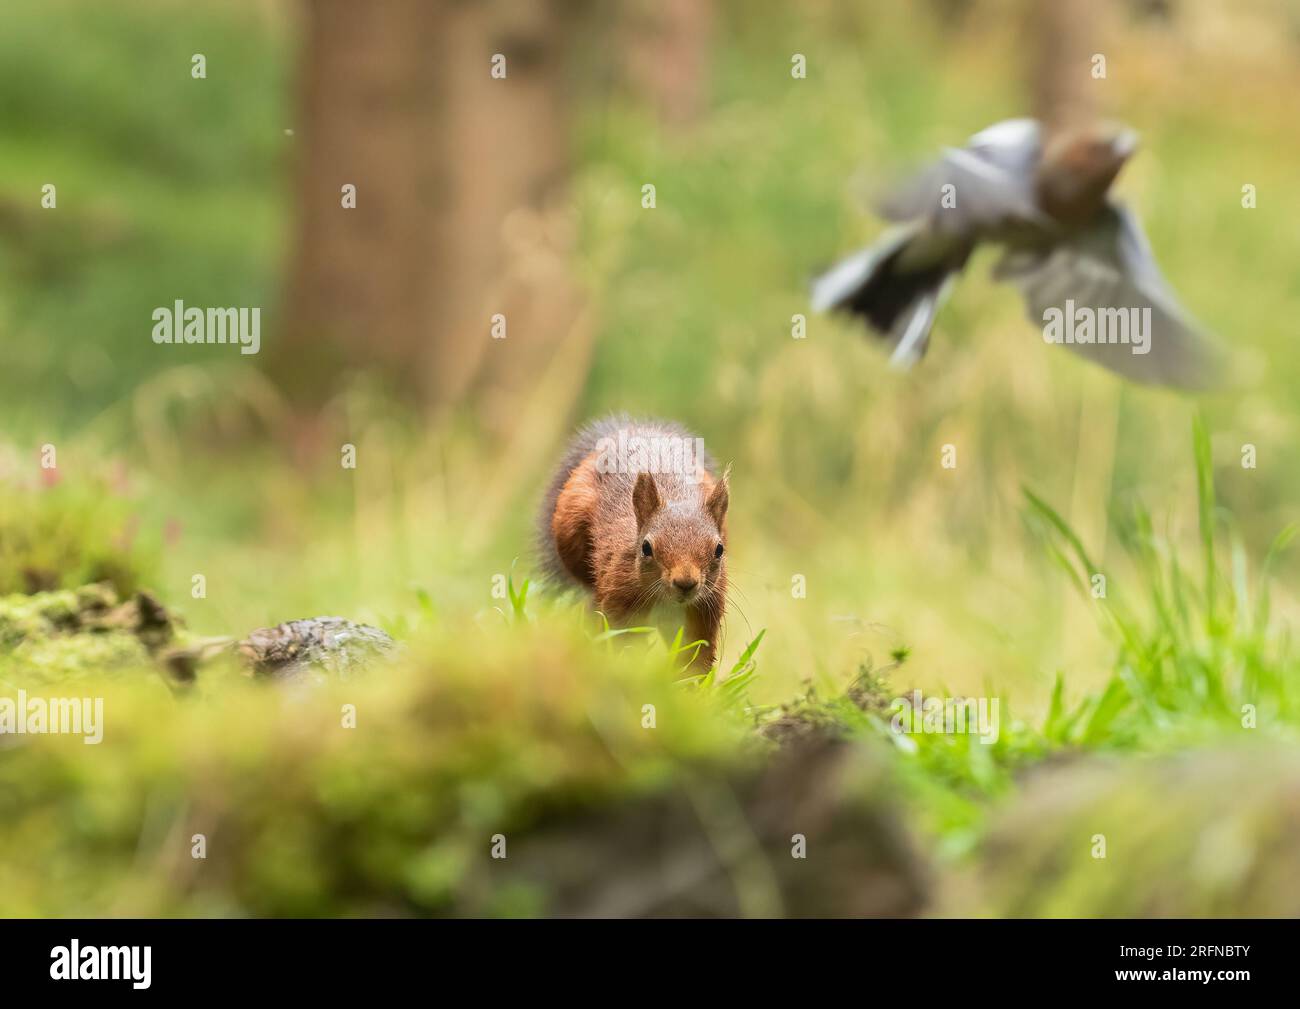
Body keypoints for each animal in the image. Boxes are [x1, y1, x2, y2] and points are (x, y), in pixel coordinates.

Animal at [538, 415, 729, 669]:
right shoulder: (620, 592)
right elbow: (620, 641)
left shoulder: (705, 606)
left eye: (719, 549)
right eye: (646, 548)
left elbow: (695, 653)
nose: (686, 583)